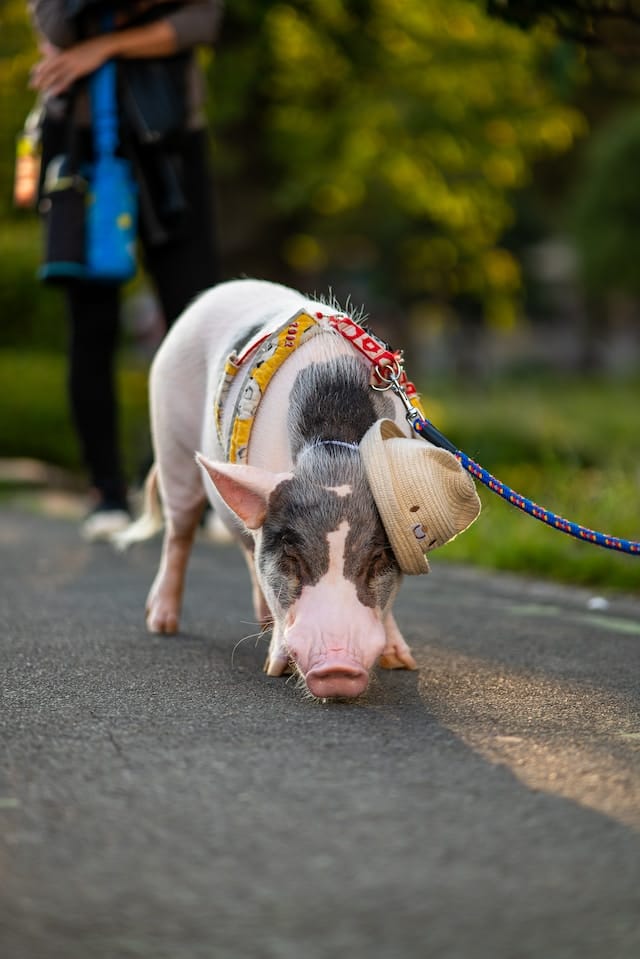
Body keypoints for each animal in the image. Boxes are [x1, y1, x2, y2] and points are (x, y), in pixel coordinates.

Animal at [119, 278, 418, 698]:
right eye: (292, 556)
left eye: (377, 558)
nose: (337, 667)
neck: (334, 450)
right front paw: (275, 669)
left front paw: (403, 663)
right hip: (170, 438)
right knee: (180, 531)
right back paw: (162, 623)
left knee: (245, 547)